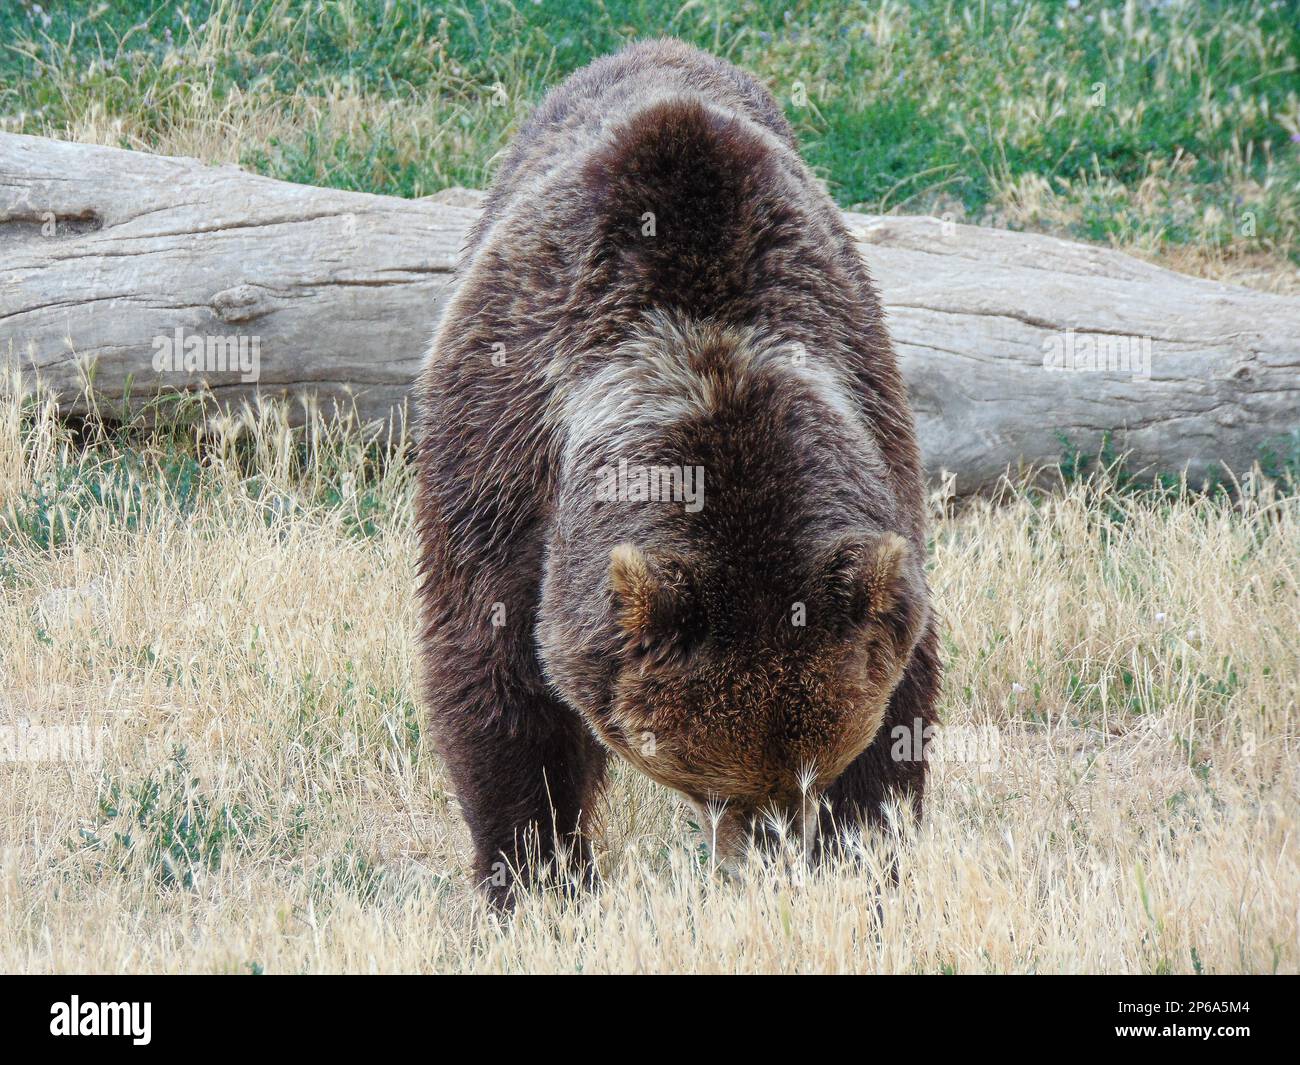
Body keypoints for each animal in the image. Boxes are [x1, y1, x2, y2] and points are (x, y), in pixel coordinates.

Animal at [415, 38, 940, 907]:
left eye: (810, 770)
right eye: (714, 777)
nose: (769, 855)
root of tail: (654, 46)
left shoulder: (872, 422)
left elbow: (903, 698)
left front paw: (863, 855)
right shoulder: (505, 450)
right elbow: (495, 675)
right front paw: (535, 878)